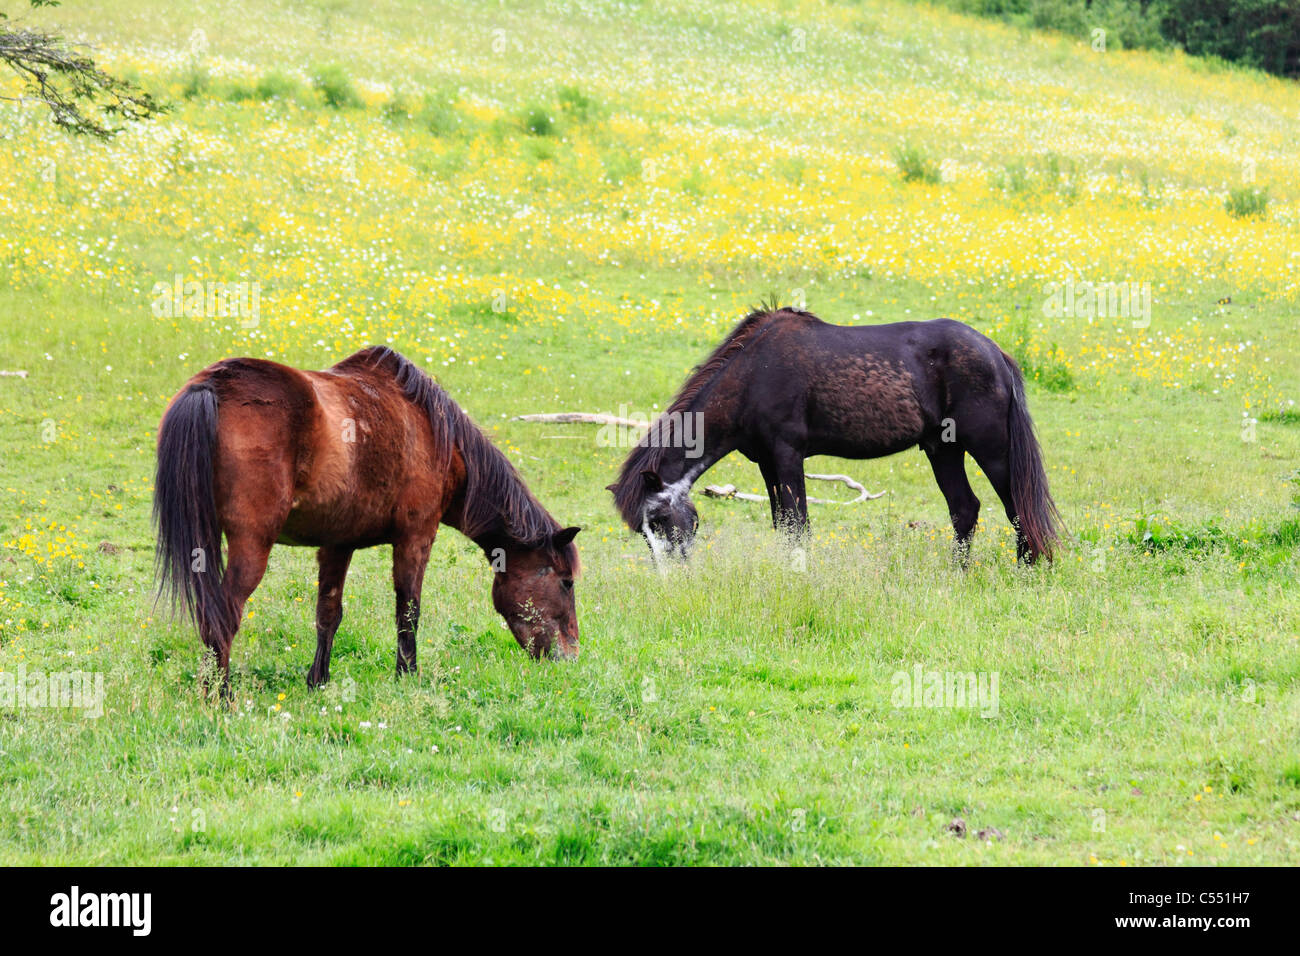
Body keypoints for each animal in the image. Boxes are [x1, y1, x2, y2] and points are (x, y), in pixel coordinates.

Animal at [153, 345, 581, 692]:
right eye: (567, 582)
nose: (571, 657)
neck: (434, 432)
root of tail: (211, 387)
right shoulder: (415, 537)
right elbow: (408, 611)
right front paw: (407, 676)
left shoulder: (336, 544)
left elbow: (328, 614)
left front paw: (318, 681)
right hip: (251, 545)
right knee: (222, 617)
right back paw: (221, 698)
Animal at [609, 306, 1059, 565]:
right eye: (643, 532)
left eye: (660, 520)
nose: (672, 576)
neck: (754, 374)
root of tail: (994, 352)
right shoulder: (767, 464)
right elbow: (782, 524)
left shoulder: (788, 456)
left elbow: (799, 524)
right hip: (942, 450)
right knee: (965, 509)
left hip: (991, 449)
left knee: (1016, 507)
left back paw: (1027, 568)